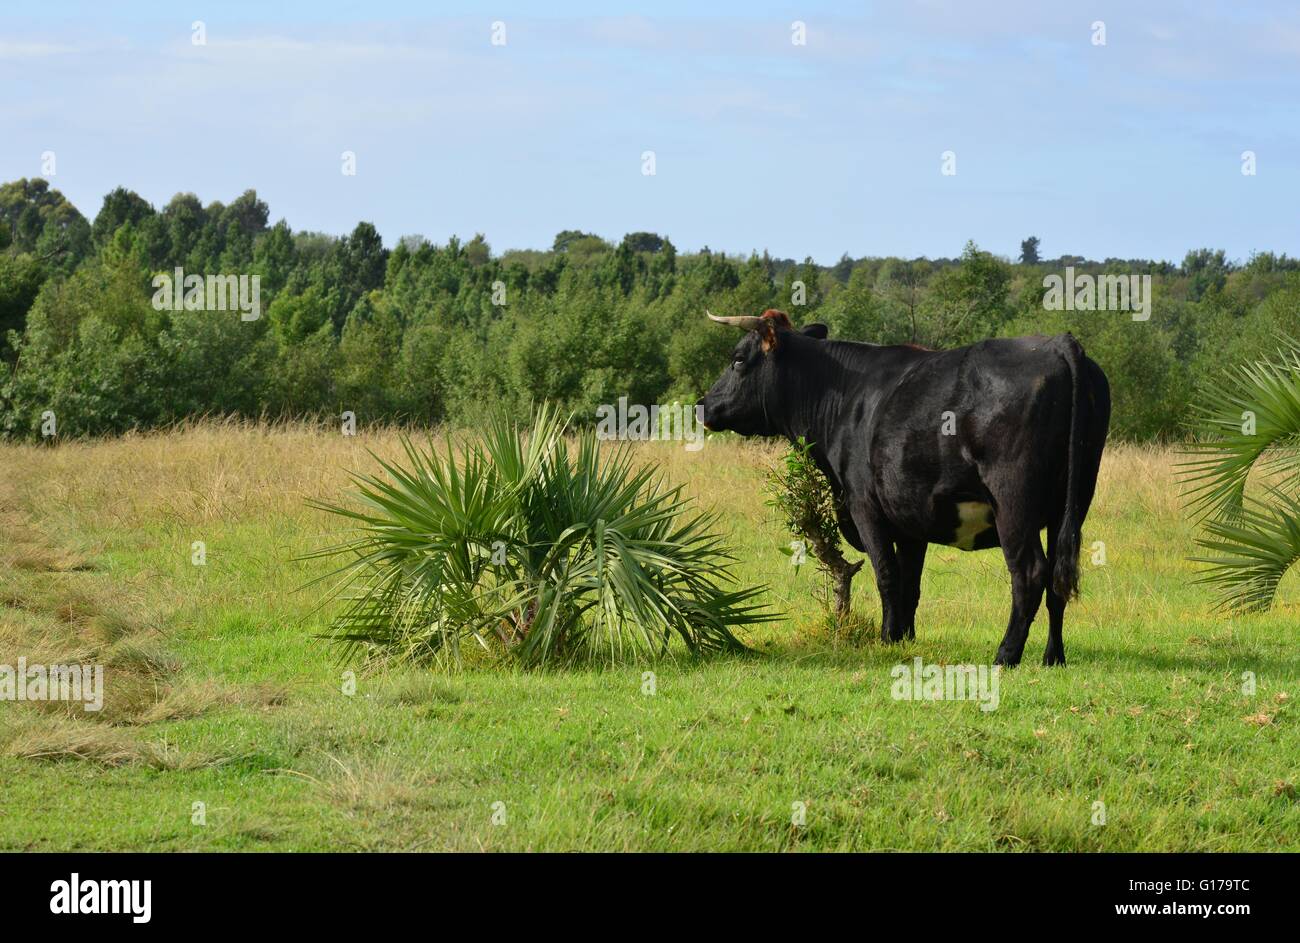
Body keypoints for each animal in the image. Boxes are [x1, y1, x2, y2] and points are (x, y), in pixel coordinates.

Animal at [699, 309, 1110, 666]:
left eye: (738, 360)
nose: (703, 405)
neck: (843, 396)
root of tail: (1058, 343)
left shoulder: (864, 505)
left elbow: (887, 574)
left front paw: (887, 637)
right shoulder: (912, 516)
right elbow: (910, 583)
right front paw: (906, 638)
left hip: (1013, 502)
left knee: (1029, 574)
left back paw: (1005, 656)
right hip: (1074, 501)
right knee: (1058, 579)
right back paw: (1053, 656)